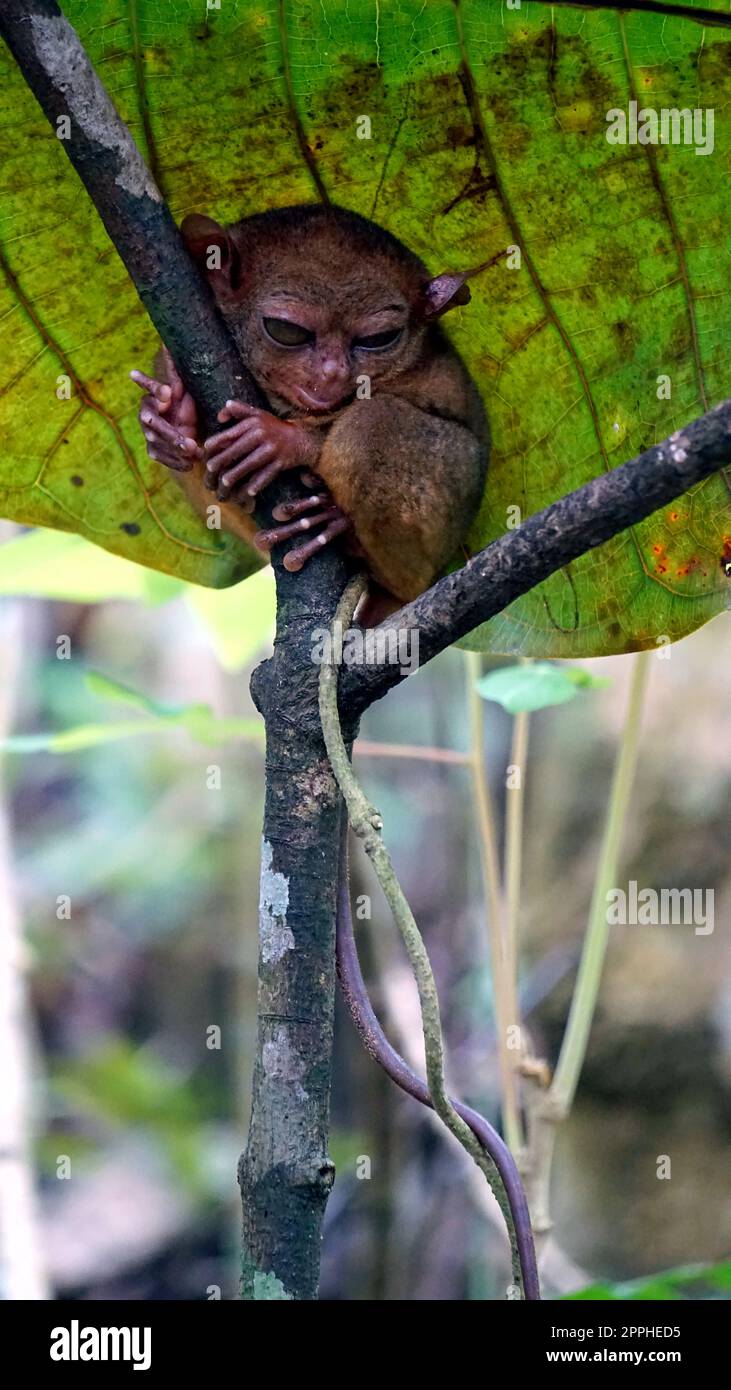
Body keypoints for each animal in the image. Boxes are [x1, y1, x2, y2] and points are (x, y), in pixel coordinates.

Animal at [131, 203, 489, 611]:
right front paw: (170, 419)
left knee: (373, 422)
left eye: (379, 339)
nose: (334, 373)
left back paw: (338, 526)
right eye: (287, 331)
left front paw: (277, 441)